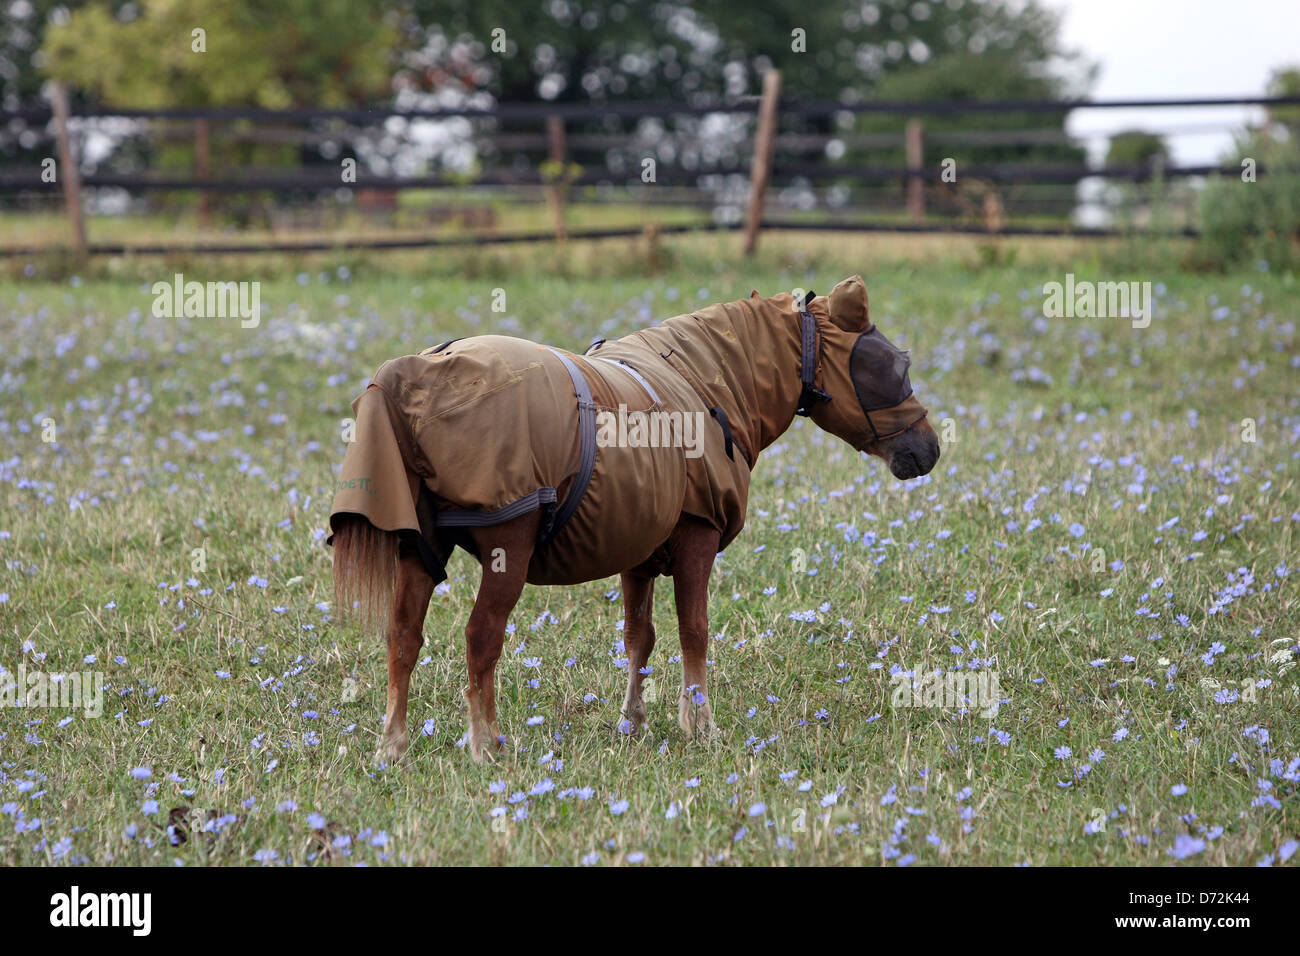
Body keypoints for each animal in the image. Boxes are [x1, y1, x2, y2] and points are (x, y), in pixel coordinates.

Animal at [328, 274, 940, 763]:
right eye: (887, 366)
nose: (929, 449)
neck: (707, 383)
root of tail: (418, 375)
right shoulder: (696, 538)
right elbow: (694, 632)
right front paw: (700, 724)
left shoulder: (638, 552)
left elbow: (638, 639)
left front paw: (634, 722)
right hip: (507, 553)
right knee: (481, 638)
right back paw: (485, 744)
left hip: (421, 549)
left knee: (403, 637)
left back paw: (393, 746)